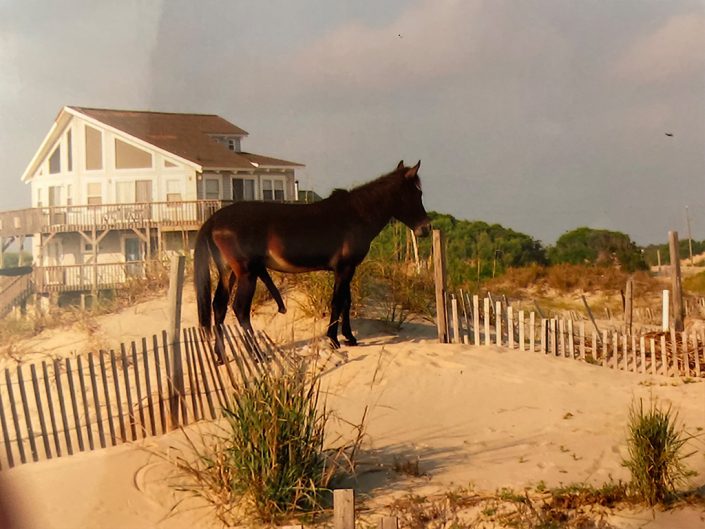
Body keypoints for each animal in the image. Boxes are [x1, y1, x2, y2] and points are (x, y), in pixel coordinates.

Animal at [194, 160, 431, 357]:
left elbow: (346, 301)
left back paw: (220, 355)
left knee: (219, 307)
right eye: (417, 194)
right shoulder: (344, 268)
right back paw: (256, 353)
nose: (426, 228)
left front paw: (349, 337)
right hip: (246, 273)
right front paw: (334, 339)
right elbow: (338, 301)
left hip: (229, 272)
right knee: (240, 309)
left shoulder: (347, 269)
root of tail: (214, 219)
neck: (357, 214)